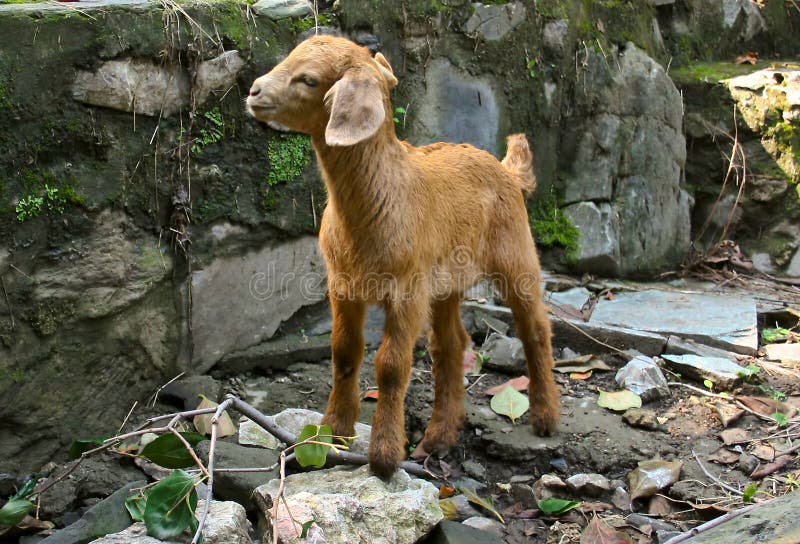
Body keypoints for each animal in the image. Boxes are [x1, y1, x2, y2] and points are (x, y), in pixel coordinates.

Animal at [247, 36, 560, 478]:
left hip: (516, 253)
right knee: (451, 345)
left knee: (535, 329)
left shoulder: (407, 291)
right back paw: (439, 436)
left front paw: (384, 457)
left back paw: (545, 418)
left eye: (308, 79)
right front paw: (331, 435)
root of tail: (507, 170)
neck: (380, 199)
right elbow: (344, 351)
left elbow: (392, 365)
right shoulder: (343, 285)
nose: (254, 92)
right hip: (445, 282)